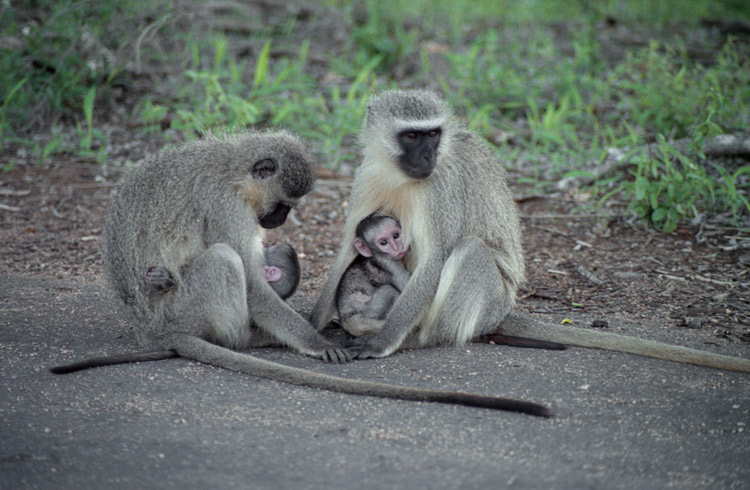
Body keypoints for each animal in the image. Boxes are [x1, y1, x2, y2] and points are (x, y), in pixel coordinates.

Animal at [50, 129, 551, 417]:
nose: (279, 222)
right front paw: (313, 340)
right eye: (283, 203)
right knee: (225, 260)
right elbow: (252, 281)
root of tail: (149, 329)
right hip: (175, 311)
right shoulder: (224, 202)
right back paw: (247, 340)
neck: (231, 167)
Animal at [310, 89, 750, 374]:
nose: (427, 157)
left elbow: (436, 260)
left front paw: (379, 344)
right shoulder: (368, 175)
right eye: (412, 135)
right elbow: (347, 249)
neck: (401, 175)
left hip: (491, 300)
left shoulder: (442, 187)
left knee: (469, 252)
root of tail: (503, 311)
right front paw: (311, 330)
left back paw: (415, 336)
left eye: (433, 134)